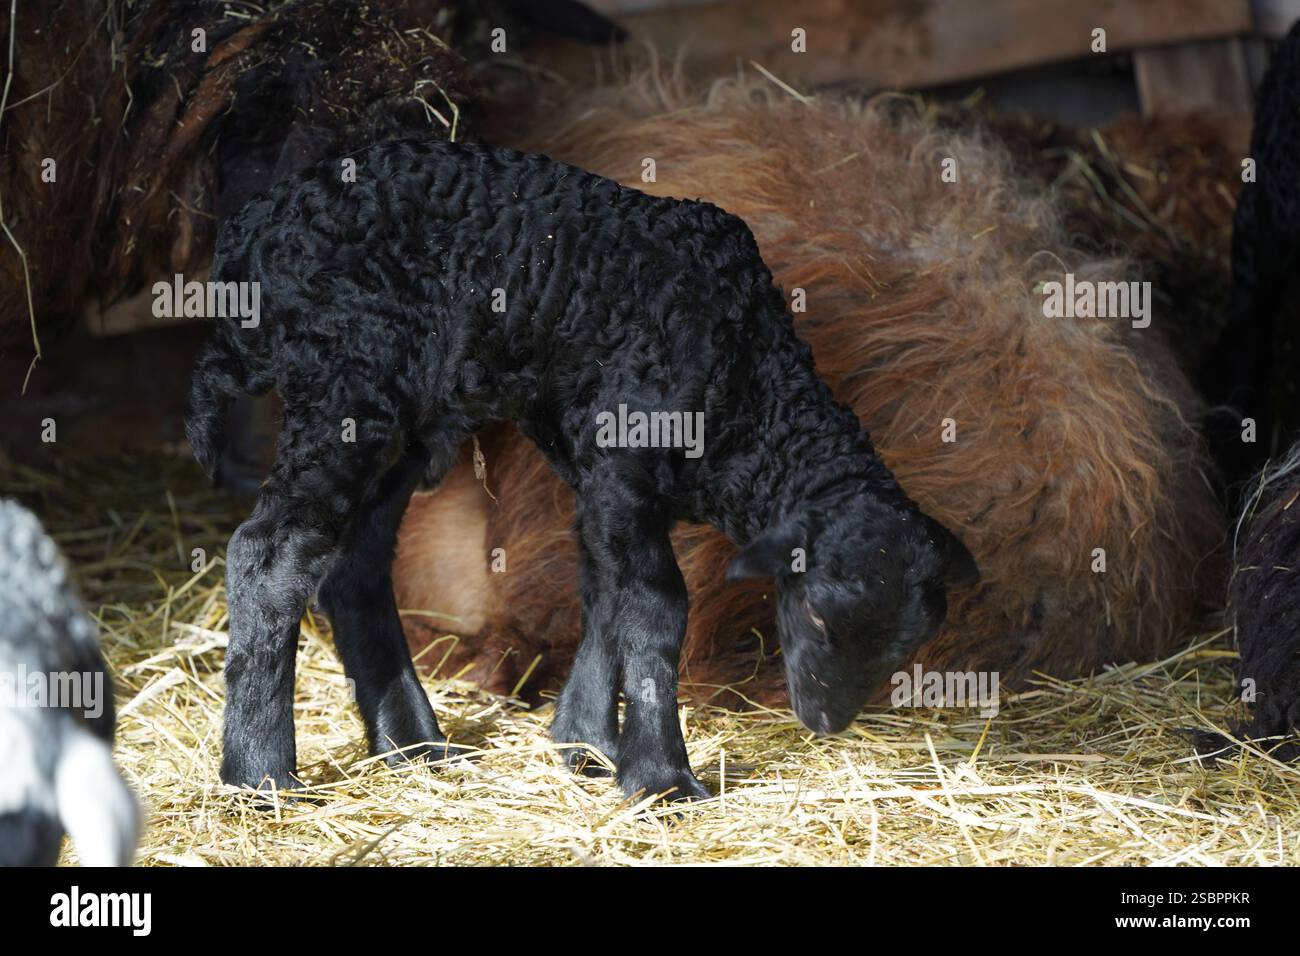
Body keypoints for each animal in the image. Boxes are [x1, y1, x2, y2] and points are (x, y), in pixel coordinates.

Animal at [185, 138, 978, 801]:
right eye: (814, 611)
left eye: (903, 647)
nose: (822, 721)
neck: (752, 387)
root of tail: (255, 229)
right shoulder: (625, 460)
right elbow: (656, 606)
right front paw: (661, 778)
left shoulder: (602, 476)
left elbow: (605, 594)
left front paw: (586, 742)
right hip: (347, 387)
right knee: (269, 553)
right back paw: (261, 774)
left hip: (397, 418)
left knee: (355, 568)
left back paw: (413, 746)